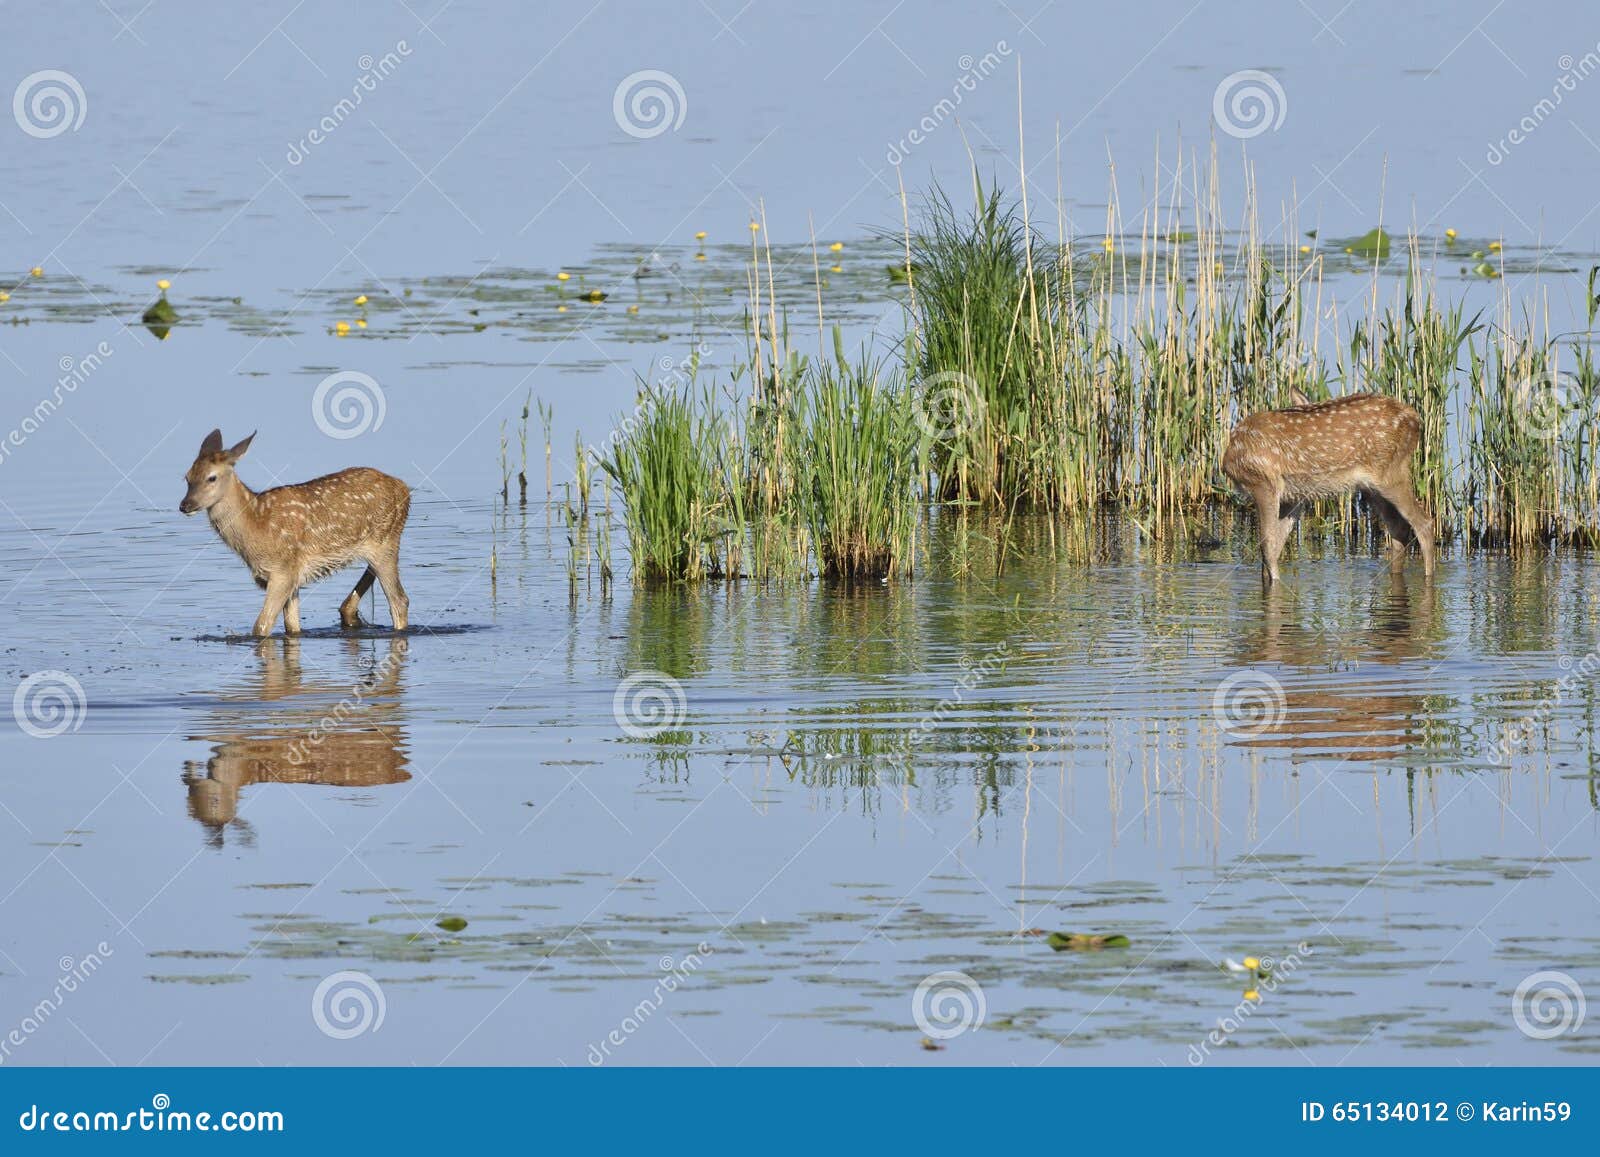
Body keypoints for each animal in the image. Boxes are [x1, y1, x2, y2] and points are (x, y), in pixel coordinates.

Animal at [179, 429, 411, 636]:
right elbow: (292, 627)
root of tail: (404, 488)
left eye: (212, 477)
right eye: (187, 477)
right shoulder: (292, 577)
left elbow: (261, 626)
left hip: (386, 542)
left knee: (399, 600)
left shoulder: (283, 572)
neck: (256, 528)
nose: (185, 505)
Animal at [1222, 390, 1435, 585]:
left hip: (1391, 474)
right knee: (1399, 527)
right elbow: (1274, 548)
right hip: (1372, 486)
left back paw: (1429, 578)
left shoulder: (1262, 482)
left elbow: (1267, 544)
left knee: (1424, 522)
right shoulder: (1292, 497)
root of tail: (1415, 419)